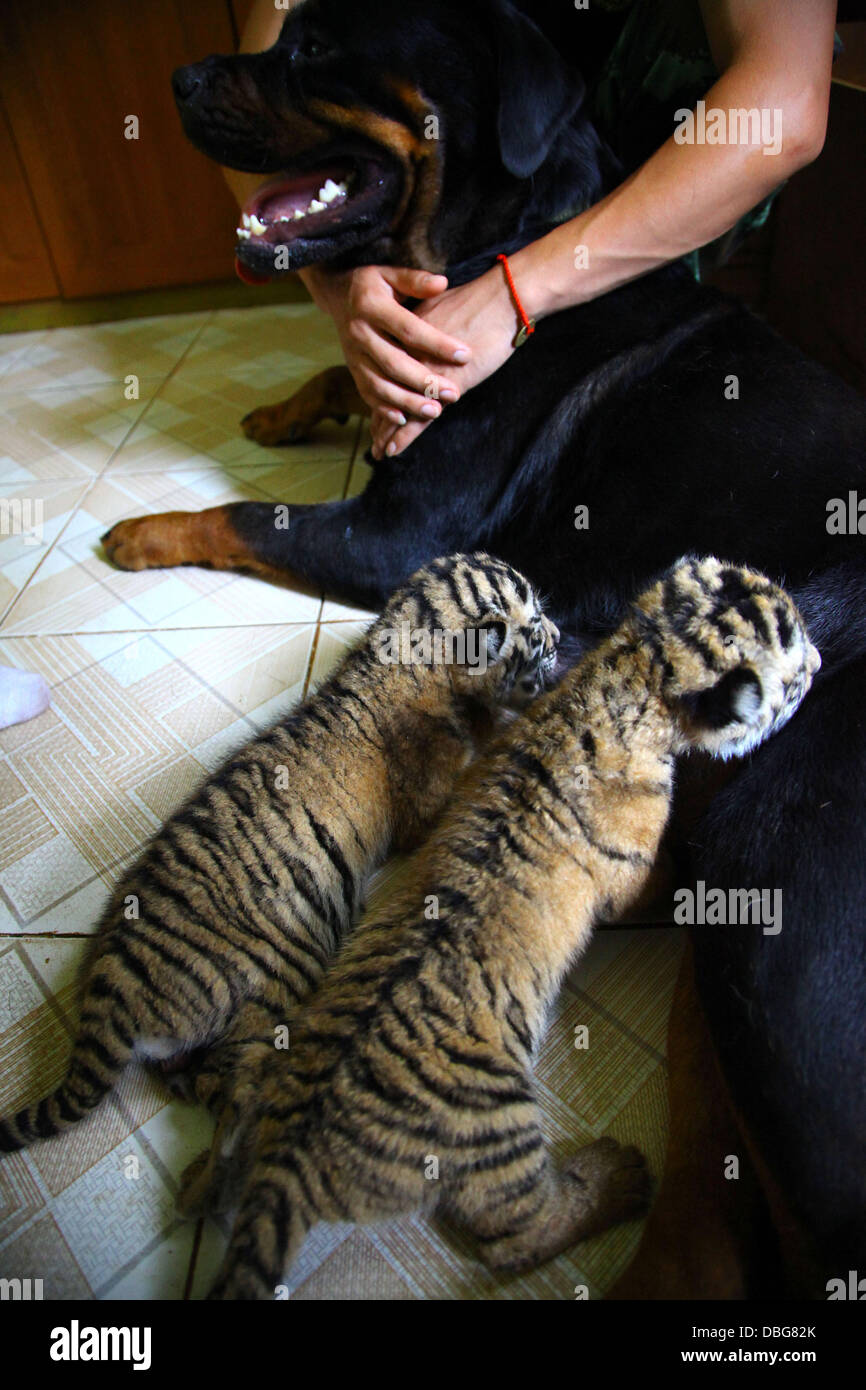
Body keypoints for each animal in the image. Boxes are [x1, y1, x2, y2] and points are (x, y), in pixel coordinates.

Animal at [0, 553, 559, 1153]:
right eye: (535, 624)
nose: (561, 634)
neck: (397, 648)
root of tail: (110, 997)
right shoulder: (424, 797)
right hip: (276, 979)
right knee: (225, 1084)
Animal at [188, 556, 820, 1299]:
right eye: (794, 671)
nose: (823, 659)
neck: (624, 669)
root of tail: (290, 1161)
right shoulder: (632, 877)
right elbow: (663, 884)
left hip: (265, 1083)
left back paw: (202, 1181)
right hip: (499, 1124)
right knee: (519, 1235)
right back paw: (616, 1177)